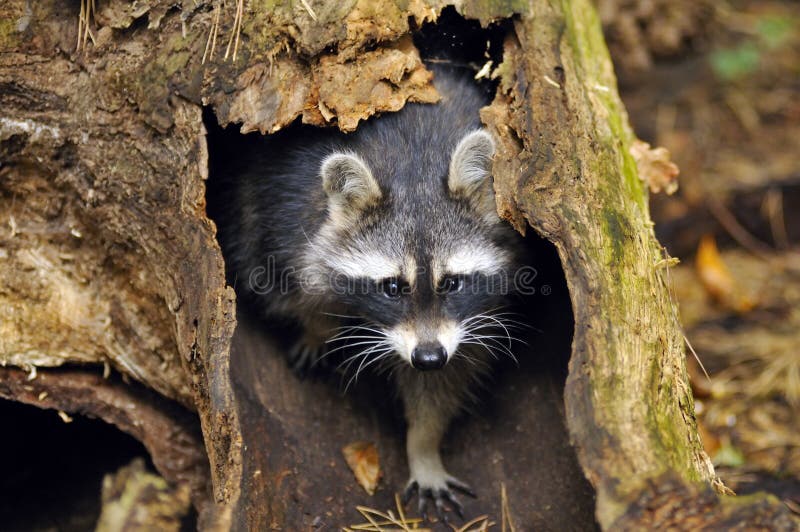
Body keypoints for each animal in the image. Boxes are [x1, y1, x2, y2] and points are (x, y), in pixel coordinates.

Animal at [216, 66, 524, 520]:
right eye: (393, 287)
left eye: (451, 283)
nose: (428, 356)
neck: (415, 171)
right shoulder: (288, 217)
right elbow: (295, 284)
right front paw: (317, 327)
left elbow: (444, 380)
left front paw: (424, 445)